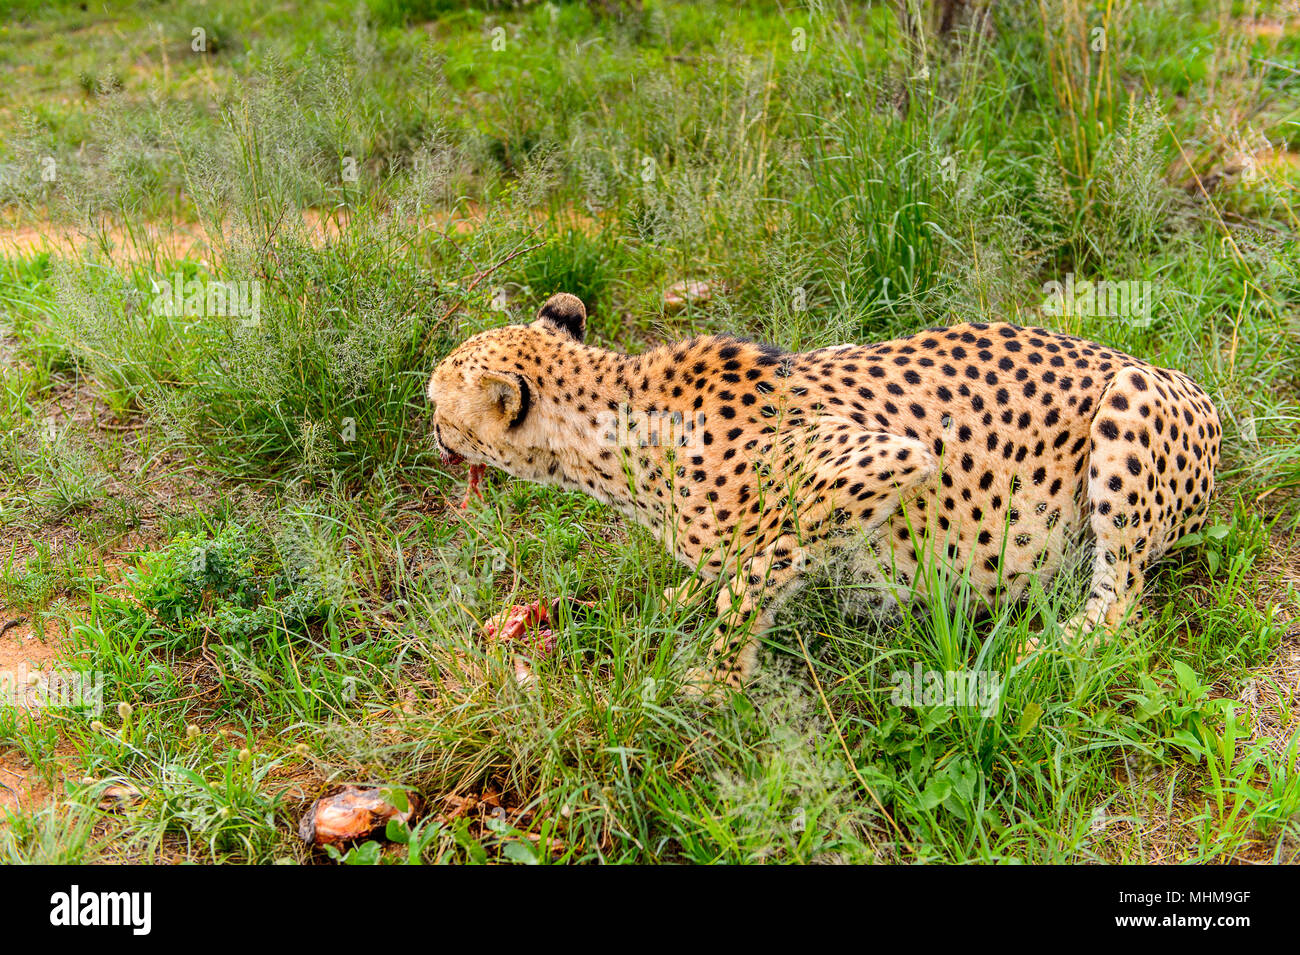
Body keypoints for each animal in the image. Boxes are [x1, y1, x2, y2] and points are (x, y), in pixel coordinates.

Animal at [428, 292, 1221, 694]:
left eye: (439, 403)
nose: (428, 430)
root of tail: (1196, 387)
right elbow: (717, 577)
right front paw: (681, 600)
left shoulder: (882, 459)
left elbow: (750, 578)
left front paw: (714, 681)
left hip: (1130, 406)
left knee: (1119, 606)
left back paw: (1042, 648)